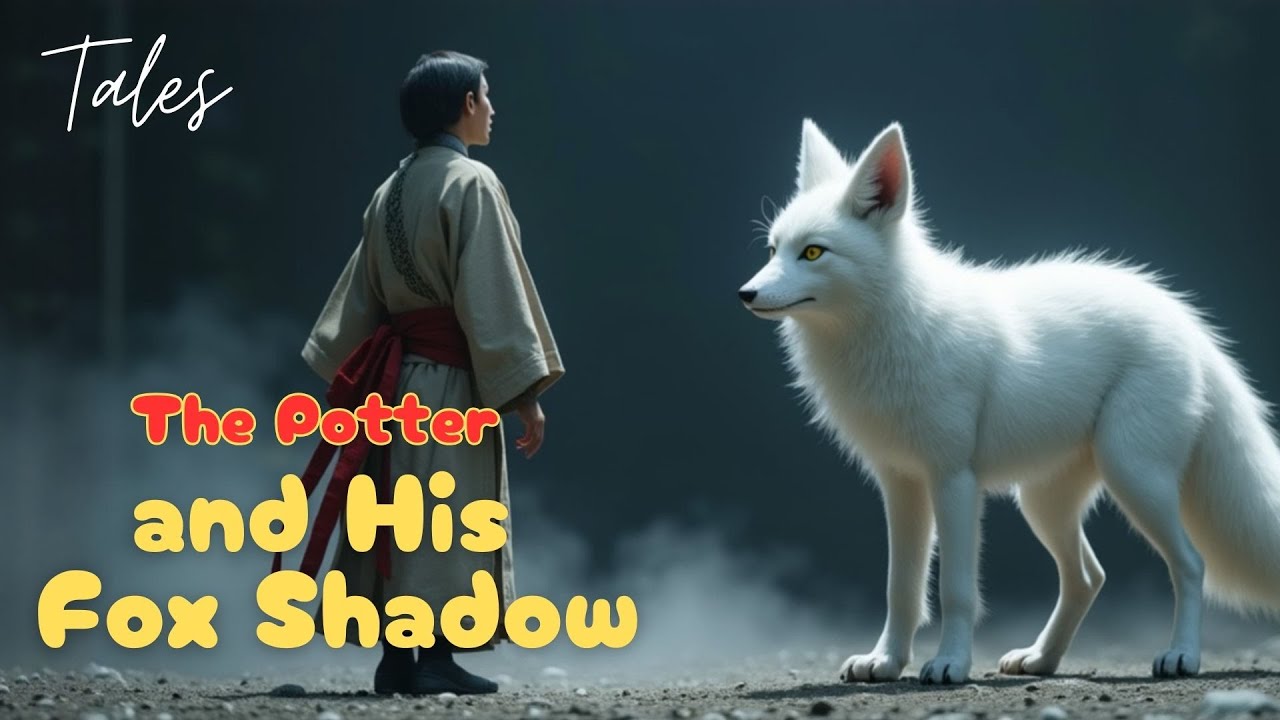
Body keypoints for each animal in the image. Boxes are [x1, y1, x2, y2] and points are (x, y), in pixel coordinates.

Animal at [738, 120, 1280, 684]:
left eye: (813, 253)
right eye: (773, 249)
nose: (745, 293)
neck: (891, 330)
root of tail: (1186, 318)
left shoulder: (954, 479)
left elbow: (955, 590)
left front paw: (950, 663)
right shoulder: (900, 483)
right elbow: (901, 590)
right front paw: (885, 662)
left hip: (1134, 476)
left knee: (1191, 564)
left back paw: (1182, 656)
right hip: (1042, 500)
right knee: (1089, 576)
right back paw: (1042, 659)